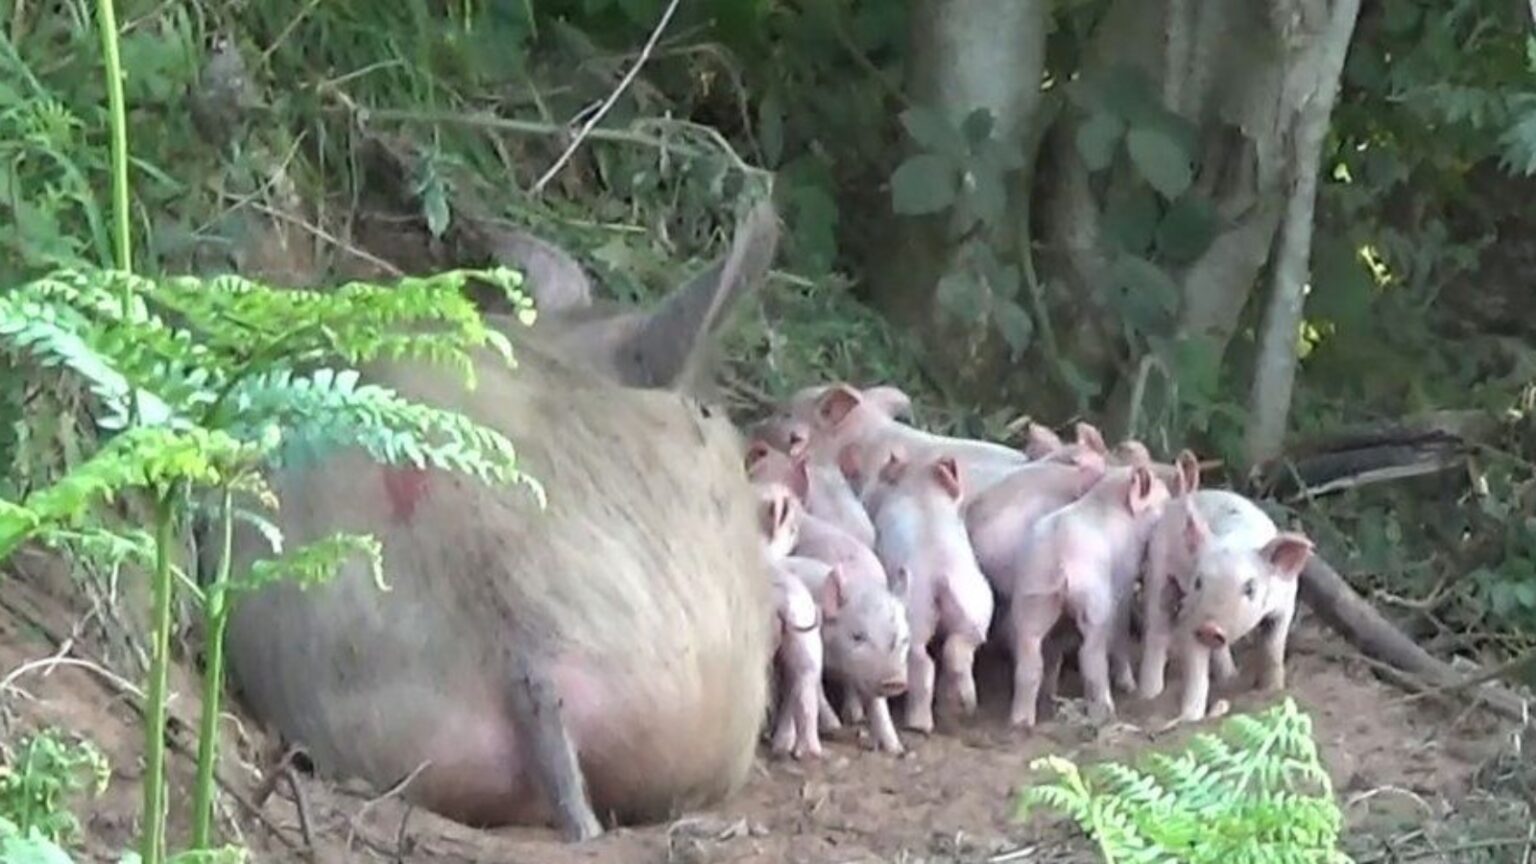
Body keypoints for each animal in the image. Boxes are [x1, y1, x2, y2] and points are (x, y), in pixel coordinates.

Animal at [784, 556, 910, 754]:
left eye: (905, 639)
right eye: (858, 636)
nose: (895, 681)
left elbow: (878, 703)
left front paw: (896, 749)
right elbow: (816, 684)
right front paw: (833, 725)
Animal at [871, 453, 996, 732]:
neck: (921, 490)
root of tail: (939, 576)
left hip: (915, 609)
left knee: (921, 660)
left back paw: (918, 725)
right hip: (975, 603)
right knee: (959, 649)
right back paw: (962, 708)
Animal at [1005, 464, 1171, 728]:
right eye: (1163, 501)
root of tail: (1058, 553)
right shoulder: (1124, 578)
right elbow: (1121, 626)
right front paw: (1128, 686)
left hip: (1032, 594)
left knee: (1031, 657)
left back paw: (1023, 721)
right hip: (1093, 597)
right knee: (1090, 654)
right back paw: (1106, 711)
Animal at [1147, 490, 1315, 726]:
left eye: (1250, 588)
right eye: (1198, 582)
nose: (1210, 628)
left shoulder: (1286, 603)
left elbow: (1273, 648)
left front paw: (1272, 691)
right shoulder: (1192, 614)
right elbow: (1195, 667)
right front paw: (1191, 718)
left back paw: (1230, 676)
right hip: (1157, 568)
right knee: (1156, 626)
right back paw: (1149, 694)